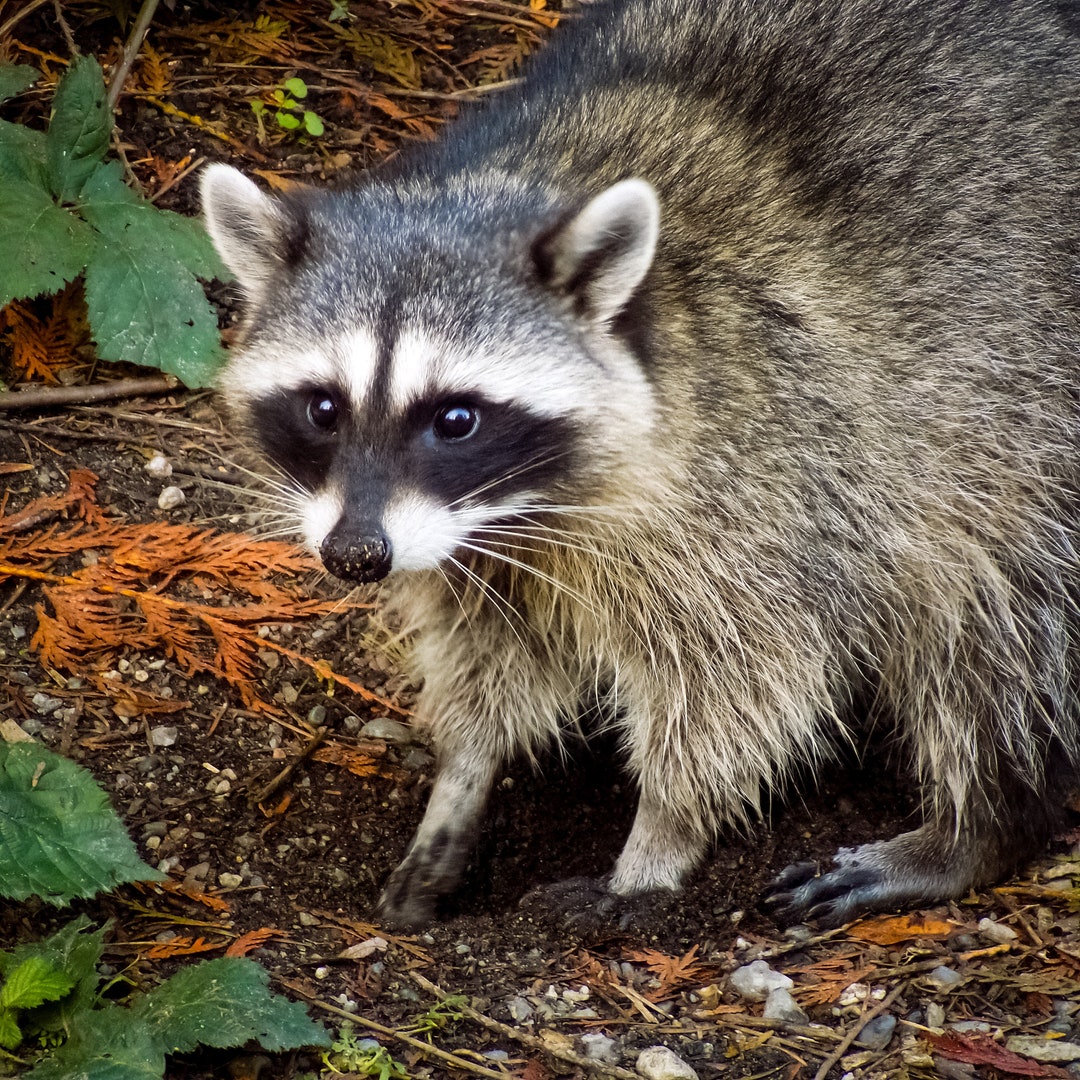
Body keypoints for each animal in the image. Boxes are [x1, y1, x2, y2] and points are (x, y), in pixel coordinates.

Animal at [201, 0, 1080, 928]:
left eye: (456, 418)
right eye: (323, 408)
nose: (355, 556)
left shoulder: (770, 470)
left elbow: (744, 675)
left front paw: (660, 836)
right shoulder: (459, 545)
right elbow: (485, 653)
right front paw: (462, 777)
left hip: (1018, 428)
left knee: (990, 619)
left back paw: (979, 827)